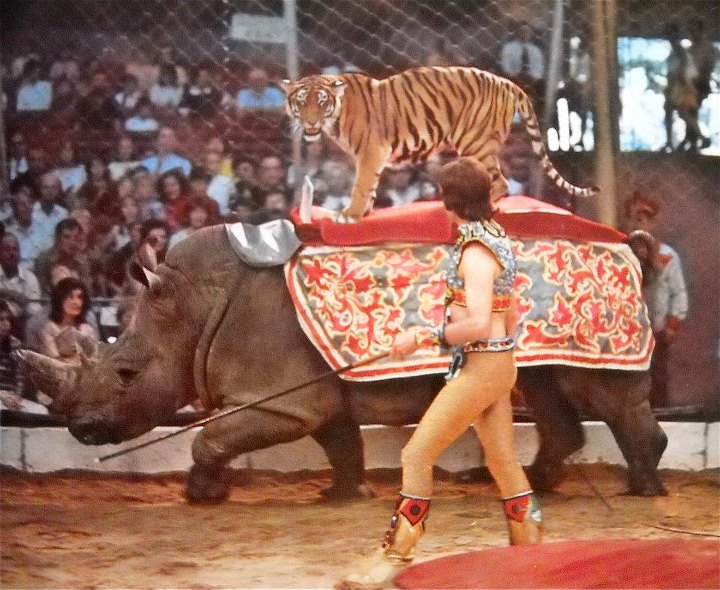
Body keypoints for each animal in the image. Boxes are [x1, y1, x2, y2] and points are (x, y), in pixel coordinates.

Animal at [18, 223, 668, 502]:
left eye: (126, 376)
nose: (80, 428)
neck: (189, 306)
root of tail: (629, 246)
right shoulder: (313, 390)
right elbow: (339, 438)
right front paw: (341, 494)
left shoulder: (281, 398)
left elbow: (211, 437)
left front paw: (202, 495)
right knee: (547, 386)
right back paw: (537, 487)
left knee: (596, 387)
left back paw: (642, 490)